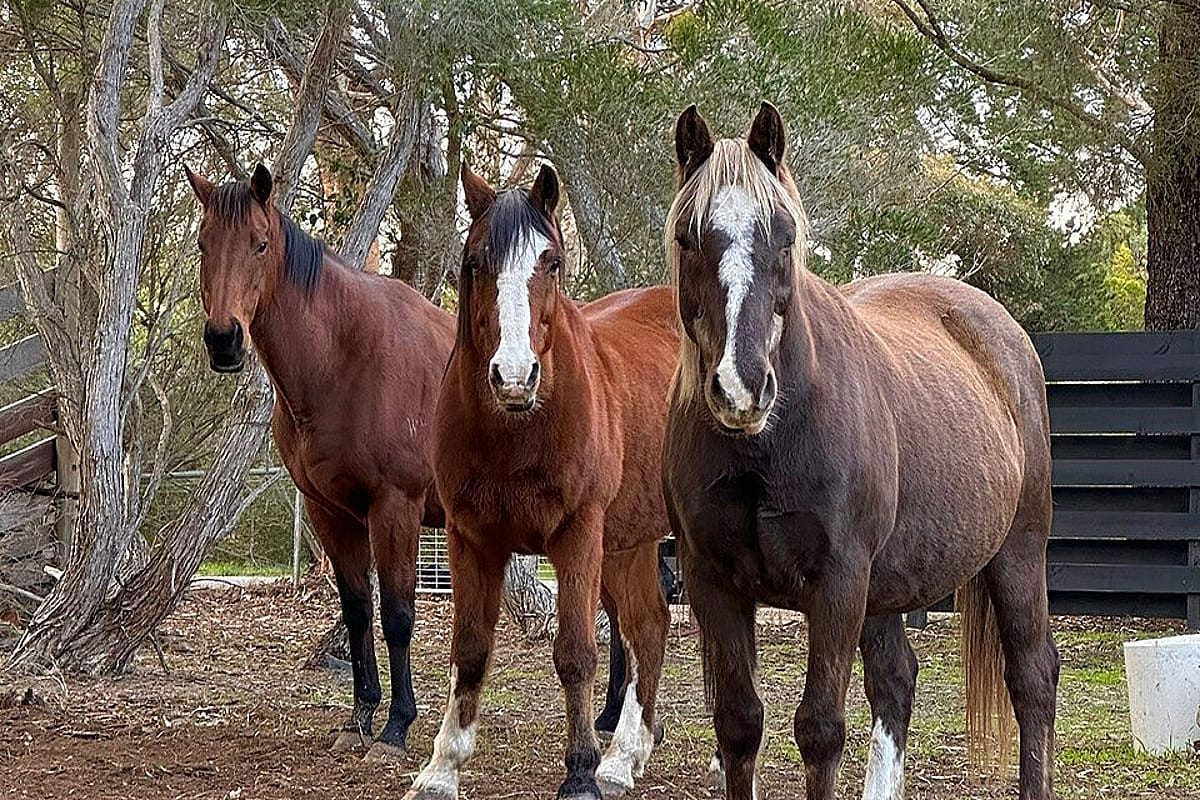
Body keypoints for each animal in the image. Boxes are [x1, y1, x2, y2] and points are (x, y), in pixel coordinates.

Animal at [404, 164, 678, 800]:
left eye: (551, 262)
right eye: (474, 261)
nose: (513, 375)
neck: (518, 426)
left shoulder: (576, 536)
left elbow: (576, 652)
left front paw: (578, 773)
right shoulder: (470, 538)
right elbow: (470, 649)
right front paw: (442, 768)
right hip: (628, 542)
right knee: (649, 626)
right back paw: (625, 758)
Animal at [661, 104, 1059, 800]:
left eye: (784, 237)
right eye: (688, 237)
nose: (741, 385)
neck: (769, 448)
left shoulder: (839, 582)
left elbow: (820, 730)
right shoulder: (712, 580)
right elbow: (738, 724)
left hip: (1017, 554)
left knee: (1033, 678)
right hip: (888, 586)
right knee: (896, 680)